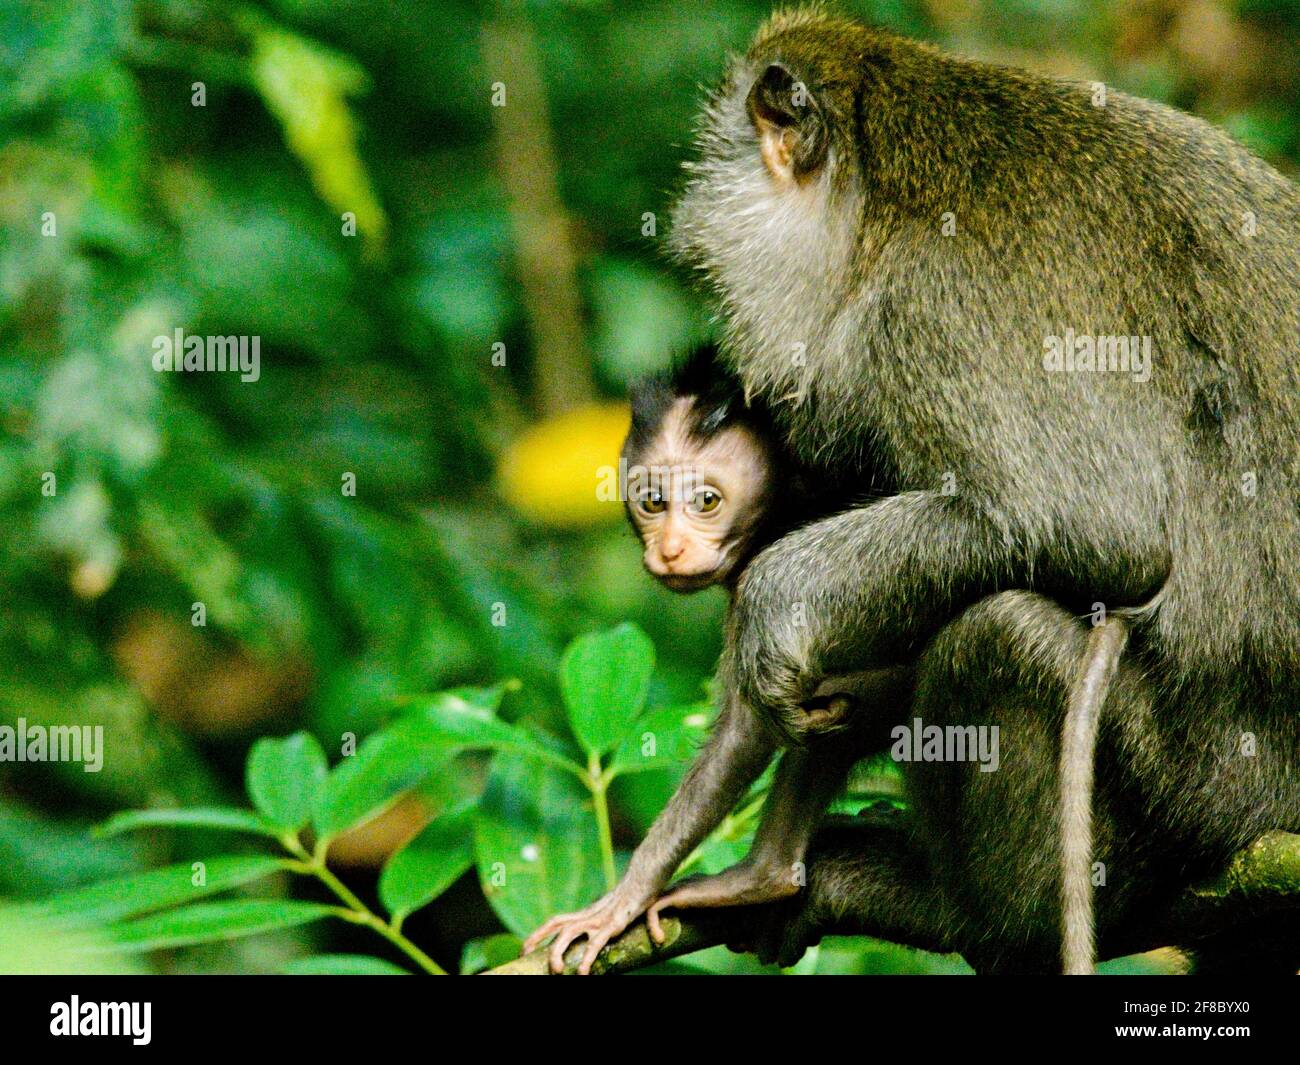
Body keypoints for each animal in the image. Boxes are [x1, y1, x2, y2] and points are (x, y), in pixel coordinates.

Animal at [651, 8, 1298, 975]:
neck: (881, 204)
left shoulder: (930, 304)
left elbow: (1092, 525)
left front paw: (773, 603)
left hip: (1210, 799)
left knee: (1000, 635)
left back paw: (970, 912)